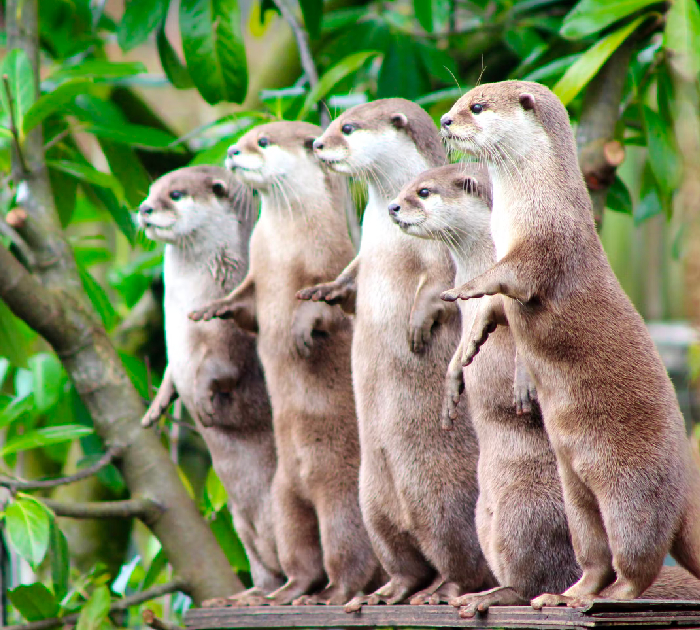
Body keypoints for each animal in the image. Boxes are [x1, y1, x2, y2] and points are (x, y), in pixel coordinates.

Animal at [138, 166, 283, 602]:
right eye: (151, 190)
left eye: (176, 194)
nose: (144, 208)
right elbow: (171, 371)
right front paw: (156, 407)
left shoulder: (227, 326)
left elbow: (220, 368)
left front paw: (203, 402)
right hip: (243, 525)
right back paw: (246, 596)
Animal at [189, 122, 379, 606]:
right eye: (245, 136)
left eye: (263, 142)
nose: (232, 151)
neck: (282, 244)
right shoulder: (257, 273)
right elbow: (244, 304)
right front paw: (211, 309)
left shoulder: (326, 259)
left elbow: (323, 303)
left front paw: (301, 330)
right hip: (283, 499)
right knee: (300, 556)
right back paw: (286, 592)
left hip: (341, 500)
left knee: (348, 557)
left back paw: (331, 596)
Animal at [298, 99, 494, 609]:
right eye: (332, 121)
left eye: (347, 127)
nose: (317, 144)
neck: (387, 242)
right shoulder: (364, 254)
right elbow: (349, 277)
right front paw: (325, 293)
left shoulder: (441, 257)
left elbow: (440, 288)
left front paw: (417, 325)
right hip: (371, 499)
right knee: (402, 557)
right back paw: (386, 592)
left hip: (441, 500)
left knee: (461, 560)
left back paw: (443, 592)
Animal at [390, 163, 700, 616]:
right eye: (408, 185)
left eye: (424, 192)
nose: (392, 207)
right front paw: (455, 375)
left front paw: (521, 384)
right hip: (484, 515)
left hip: (524, 512)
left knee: (534, 578)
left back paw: (494, 596)